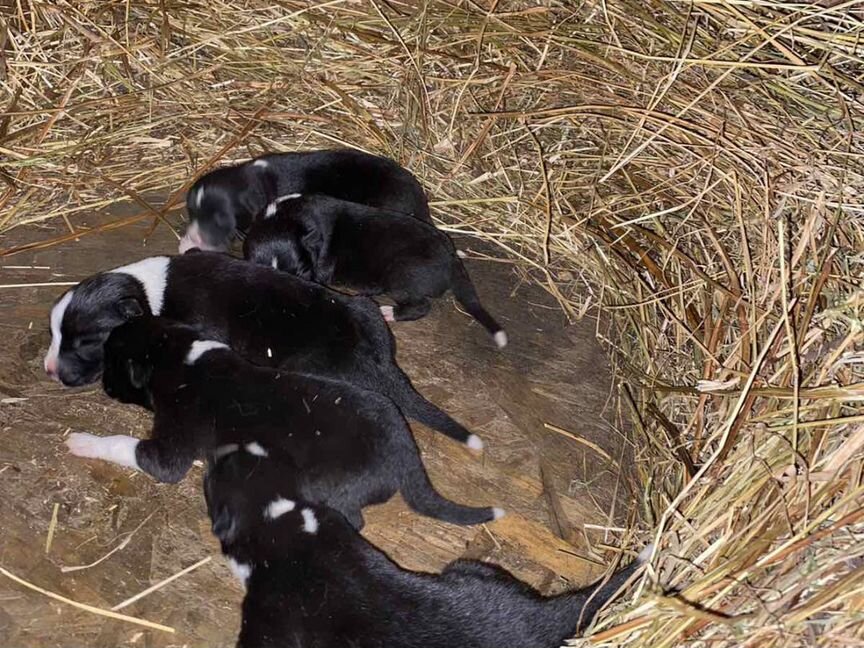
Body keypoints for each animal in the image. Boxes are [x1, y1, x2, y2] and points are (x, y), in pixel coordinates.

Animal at [44, 251, 486, 448]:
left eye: (87, 342)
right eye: (54, 332)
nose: (50, 370)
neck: (146, 291)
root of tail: (373, 361)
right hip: (365, 308)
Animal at [67, 316, 500, 528]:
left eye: (111, 360)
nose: (101, 383)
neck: (179, 357)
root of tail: (407, 452)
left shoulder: (169, 450)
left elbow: (123, 444)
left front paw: (81, 441)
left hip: (325, 481)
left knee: (354, 518)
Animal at [243, 195, 510, 350]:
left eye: (302, 271)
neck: (286, 217)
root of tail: (451, 262)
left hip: (400, 276)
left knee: (421, 306)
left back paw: (388, 311)